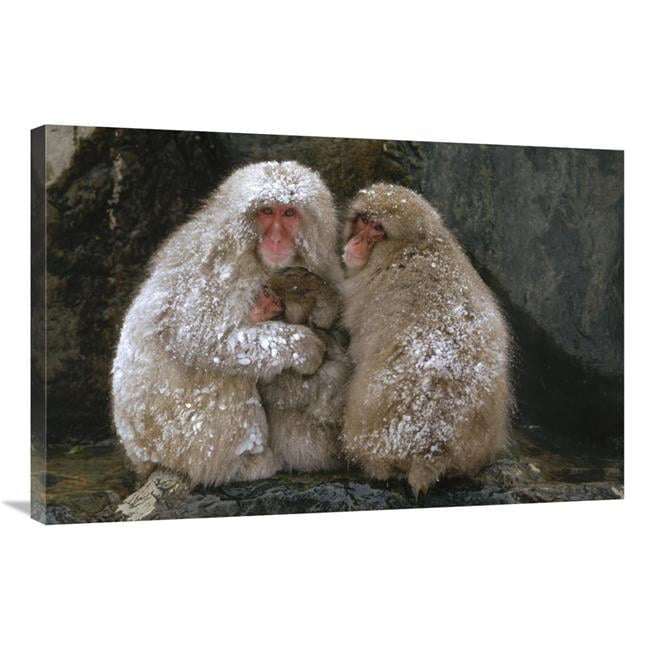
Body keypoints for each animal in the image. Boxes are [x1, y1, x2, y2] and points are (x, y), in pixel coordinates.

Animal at [340, 183, 511, 497]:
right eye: (364, 220)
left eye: (377, 229)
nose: (357, 241)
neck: (412, 249)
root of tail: (432, 448)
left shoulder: (364, 296)